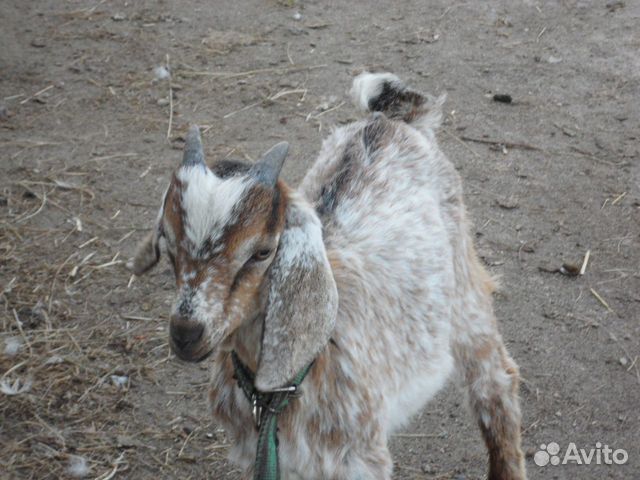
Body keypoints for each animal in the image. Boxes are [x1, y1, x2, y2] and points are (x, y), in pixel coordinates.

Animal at [129, 72, 526, 480]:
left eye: (262, 251)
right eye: (168, 242)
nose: (186, 333)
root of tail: (390, 119)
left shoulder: (361, 459)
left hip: (464, 288)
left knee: (496, 380)